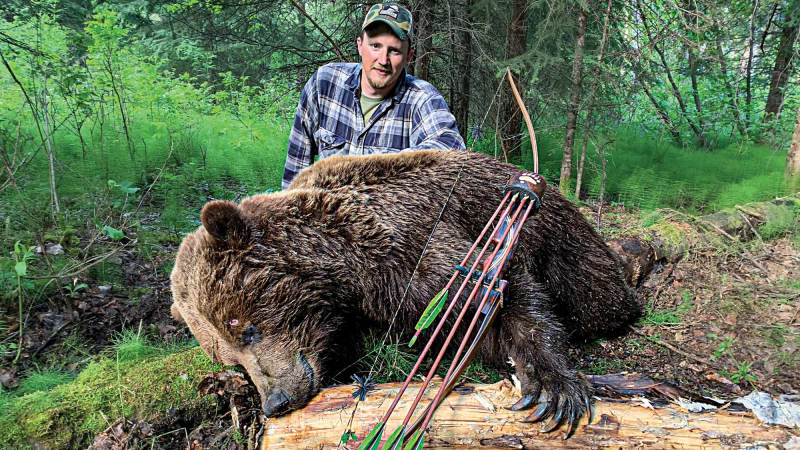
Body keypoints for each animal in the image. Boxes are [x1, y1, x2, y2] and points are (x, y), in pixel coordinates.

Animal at [169, 149, 641, 434]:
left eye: (244, 327)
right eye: (229, 358)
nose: (276, 401)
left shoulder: (415, 247)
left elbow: (495, 294)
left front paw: (552, 388)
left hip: (565, 243)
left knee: (600, 296)